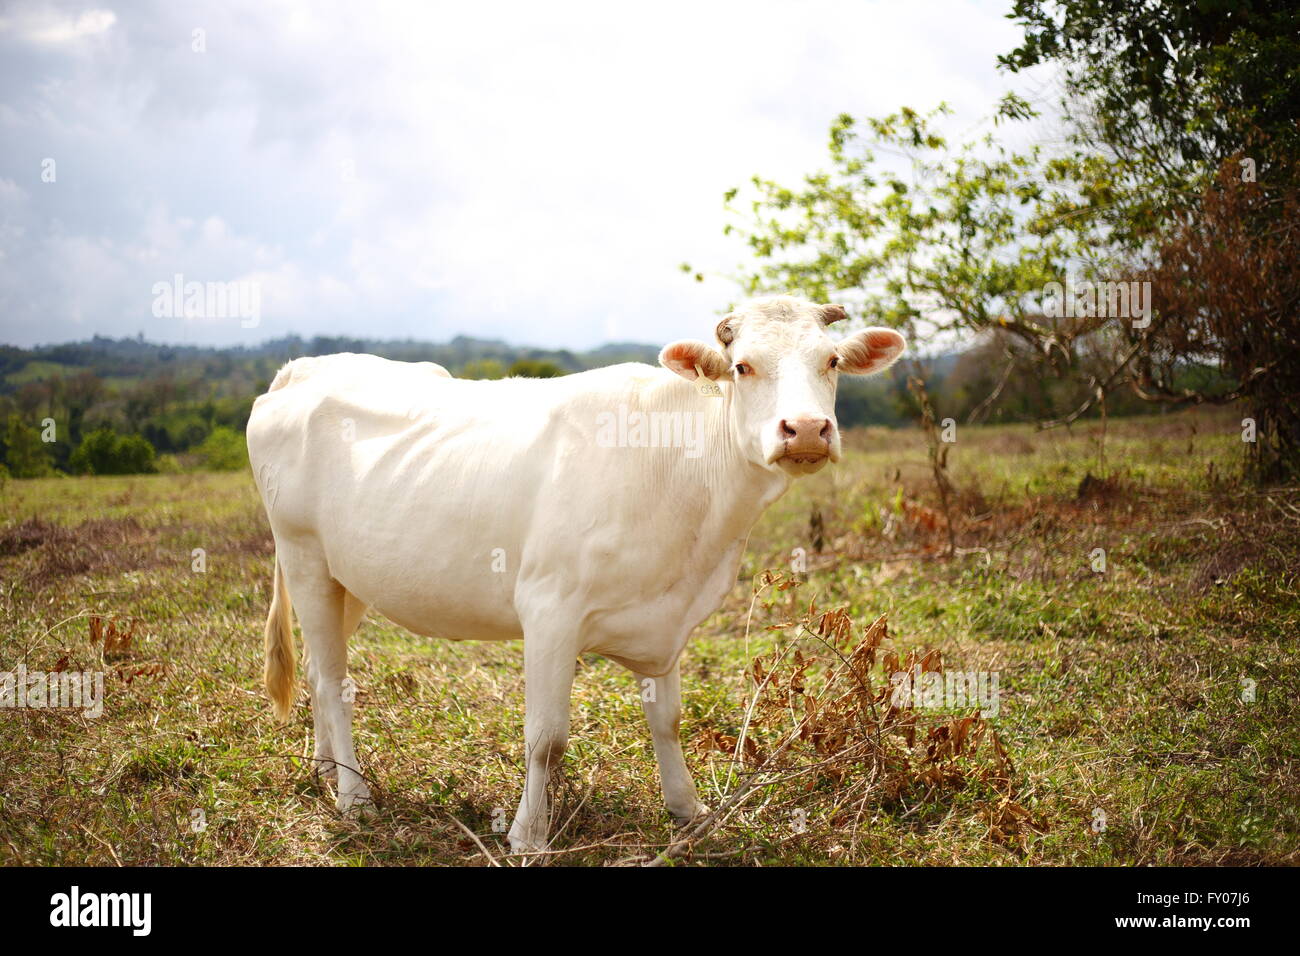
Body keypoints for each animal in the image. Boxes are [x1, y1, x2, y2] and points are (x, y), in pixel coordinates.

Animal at [246, 294, 905, 852]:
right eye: (743, 367)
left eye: (832, 361)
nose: (807, 429)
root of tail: (303, 368)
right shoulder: (549, 609)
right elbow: (546, 737)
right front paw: (528, 835)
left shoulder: (668, 618)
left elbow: (667, 721)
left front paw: (687, 809)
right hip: (303, 556)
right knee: (335, 682)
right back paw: (354, 797)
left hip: (348, 577)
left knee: (317, 669)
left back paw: (325, 769)